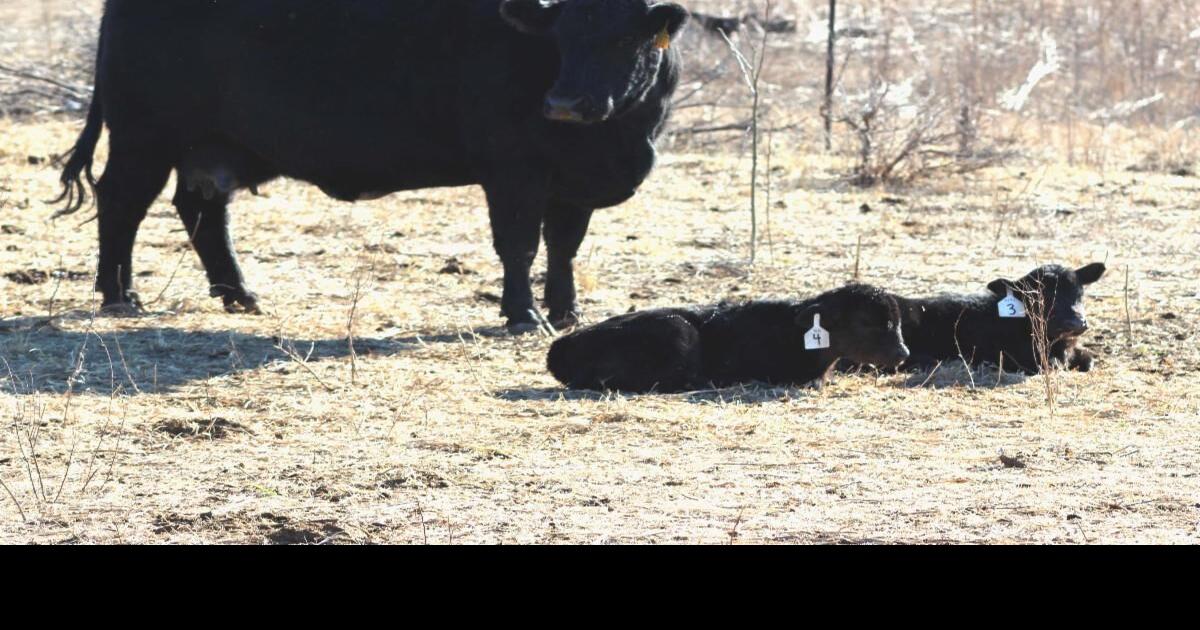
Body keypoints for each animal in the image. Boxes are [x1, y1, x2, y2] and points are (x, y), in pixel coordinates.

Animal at [53, 0, 689, 330]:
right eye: (562, 33)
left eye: (625, 38)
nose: (563, 103)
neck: (617, 139)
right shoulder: (514, 172)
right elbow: (520, 246)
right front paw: (523, 315)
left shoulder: (572, 183)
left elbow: (564, 247)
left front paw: (567, 311)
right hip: (145, 136)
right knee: (122, 202)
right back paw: (120, 295)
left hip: (207, 146)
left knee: (200, 207)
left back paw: (240, 294)